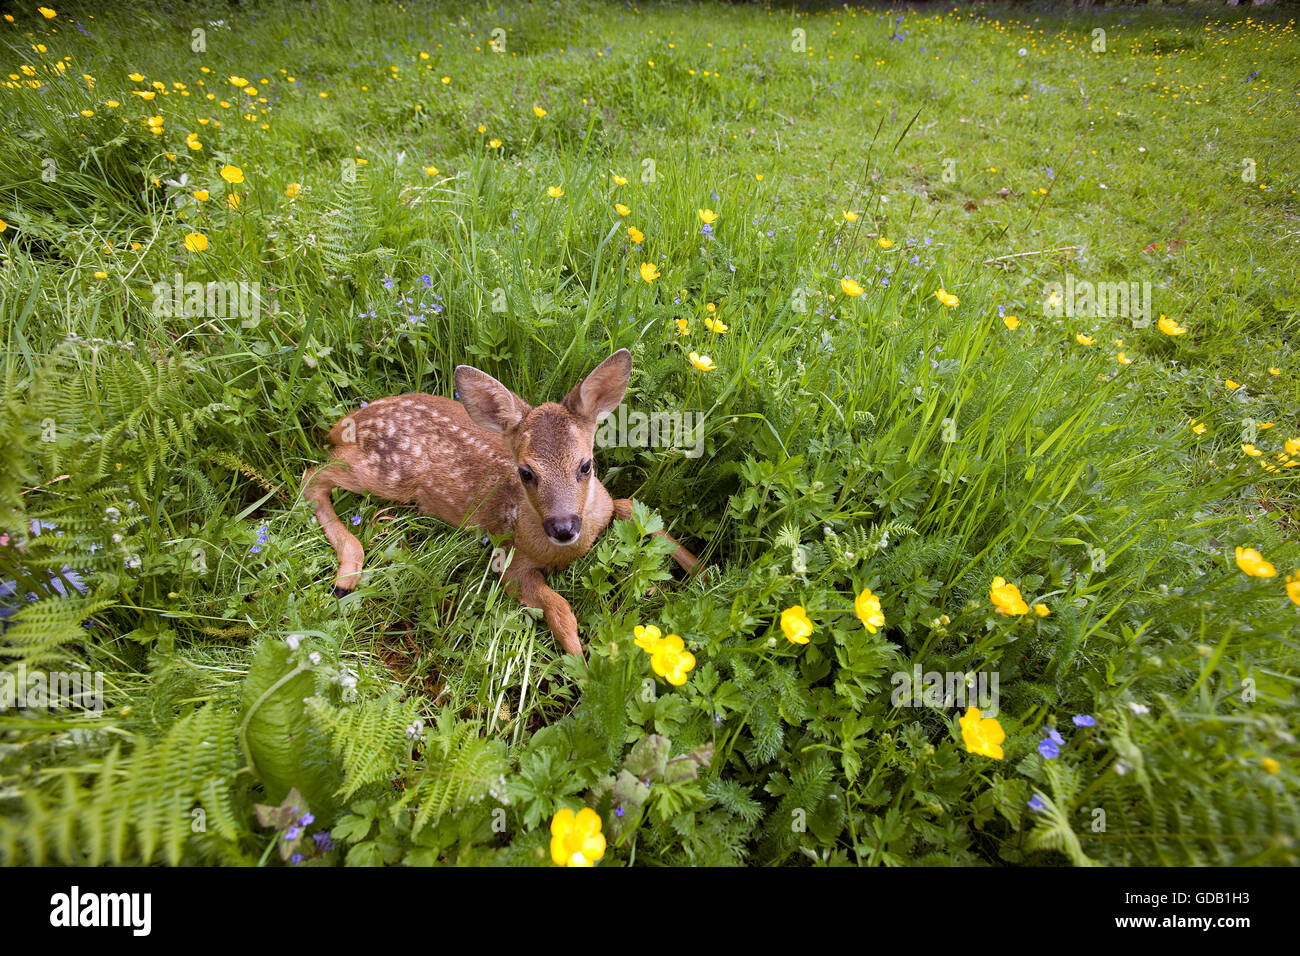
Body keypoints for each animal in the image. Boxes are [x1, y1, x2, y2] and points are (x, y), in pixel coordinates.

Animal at [302, 349, 698, 656]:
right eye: (525, 472)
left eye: (586, 465)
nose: (563, 527)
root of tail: (348, 421)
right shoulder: (508, 561)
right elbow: (560, 607)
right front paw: (582, 669)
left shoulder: (603, 507)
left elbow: (630, 504)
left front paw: (702, 569)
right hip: (385, 475)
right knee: (312, 475)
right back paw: (347, 574)